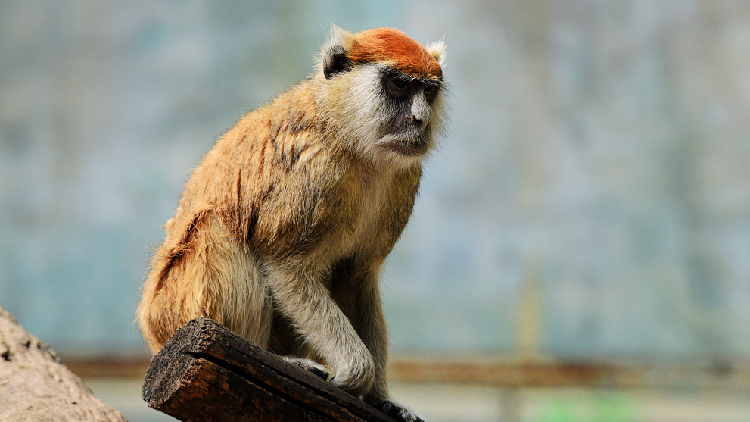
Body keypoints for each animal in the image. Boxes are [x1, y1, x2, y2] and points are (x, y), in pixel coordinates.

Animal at [137, 26, 446, 422]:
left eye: (429, 91)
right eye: (398, 85)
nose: (420, 120)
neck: (346, 128)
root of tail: (154, 333)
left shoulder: (404, 178)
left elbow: (357, 275)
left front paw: (382, 399)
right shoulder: (316, 173)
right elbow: (287, 268)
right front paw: (354, 372)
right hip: (175, 310)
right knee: (215, 227)